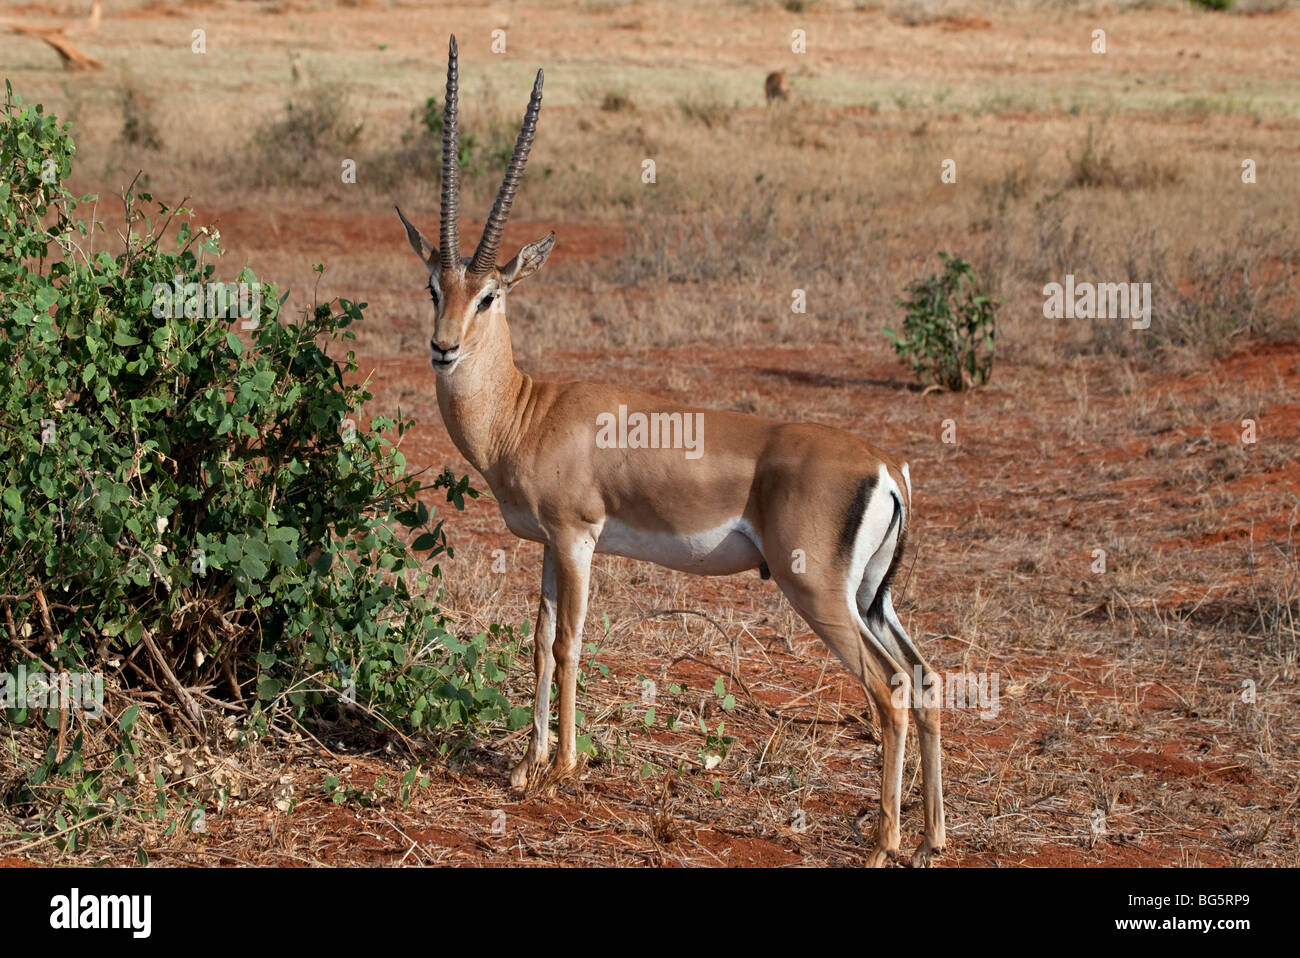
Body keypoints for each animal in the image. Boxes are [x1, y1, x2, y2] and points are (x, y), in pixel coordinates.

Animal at [396, 36, 946, 867]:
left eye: (490, 295)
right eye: (435, 287)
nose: (443, 348)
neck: (527, 411)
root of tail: (886, 468)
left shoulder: (578, 538)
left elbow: (571, 644)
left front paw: (564, 768)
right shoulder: (546, 546)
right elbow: (538, 642)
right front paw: (525, 769)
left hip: (819, 594)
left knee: (890, 692)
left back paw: (882, 845)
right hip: (872, 599)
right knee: (928, 677)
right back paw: (936, 836)